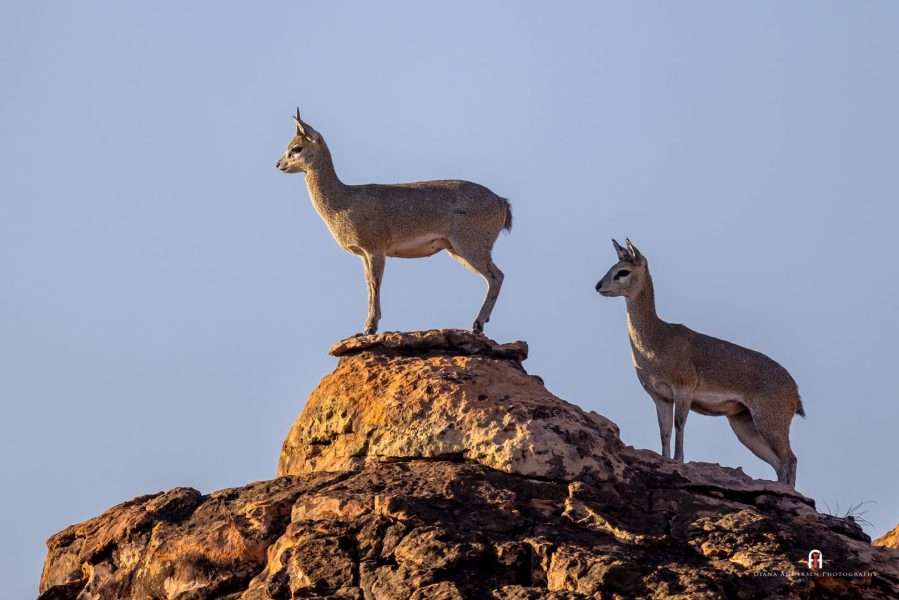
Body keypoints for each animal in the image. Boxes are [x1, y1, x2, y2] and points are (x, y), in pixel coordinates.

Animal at [276, 109, 511, 335]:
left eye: (296, 148)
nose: (279, 164)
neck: (344, 201)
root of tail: (502, 201)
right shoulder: (364, 255)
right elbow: (368, 285)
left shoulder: (375, 250)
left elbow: (375, 283)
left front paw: (370, 327)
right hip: (456, 250)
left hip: (470, 247)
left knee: (497, 276)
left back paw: (477, 325)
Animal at [595, 239, 804, 487]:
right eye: (613, 267)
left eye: (623, 271)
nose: (598, 286)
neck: (657, 338)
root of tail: (794, 390)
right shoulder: (660, 396)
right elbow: (664, 431)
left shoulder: (683, 390)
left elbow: (679, 424)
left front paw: (679, 460)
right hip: (743, 424)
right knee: (779, 463)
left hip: (770, 422)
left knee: (790, 459)